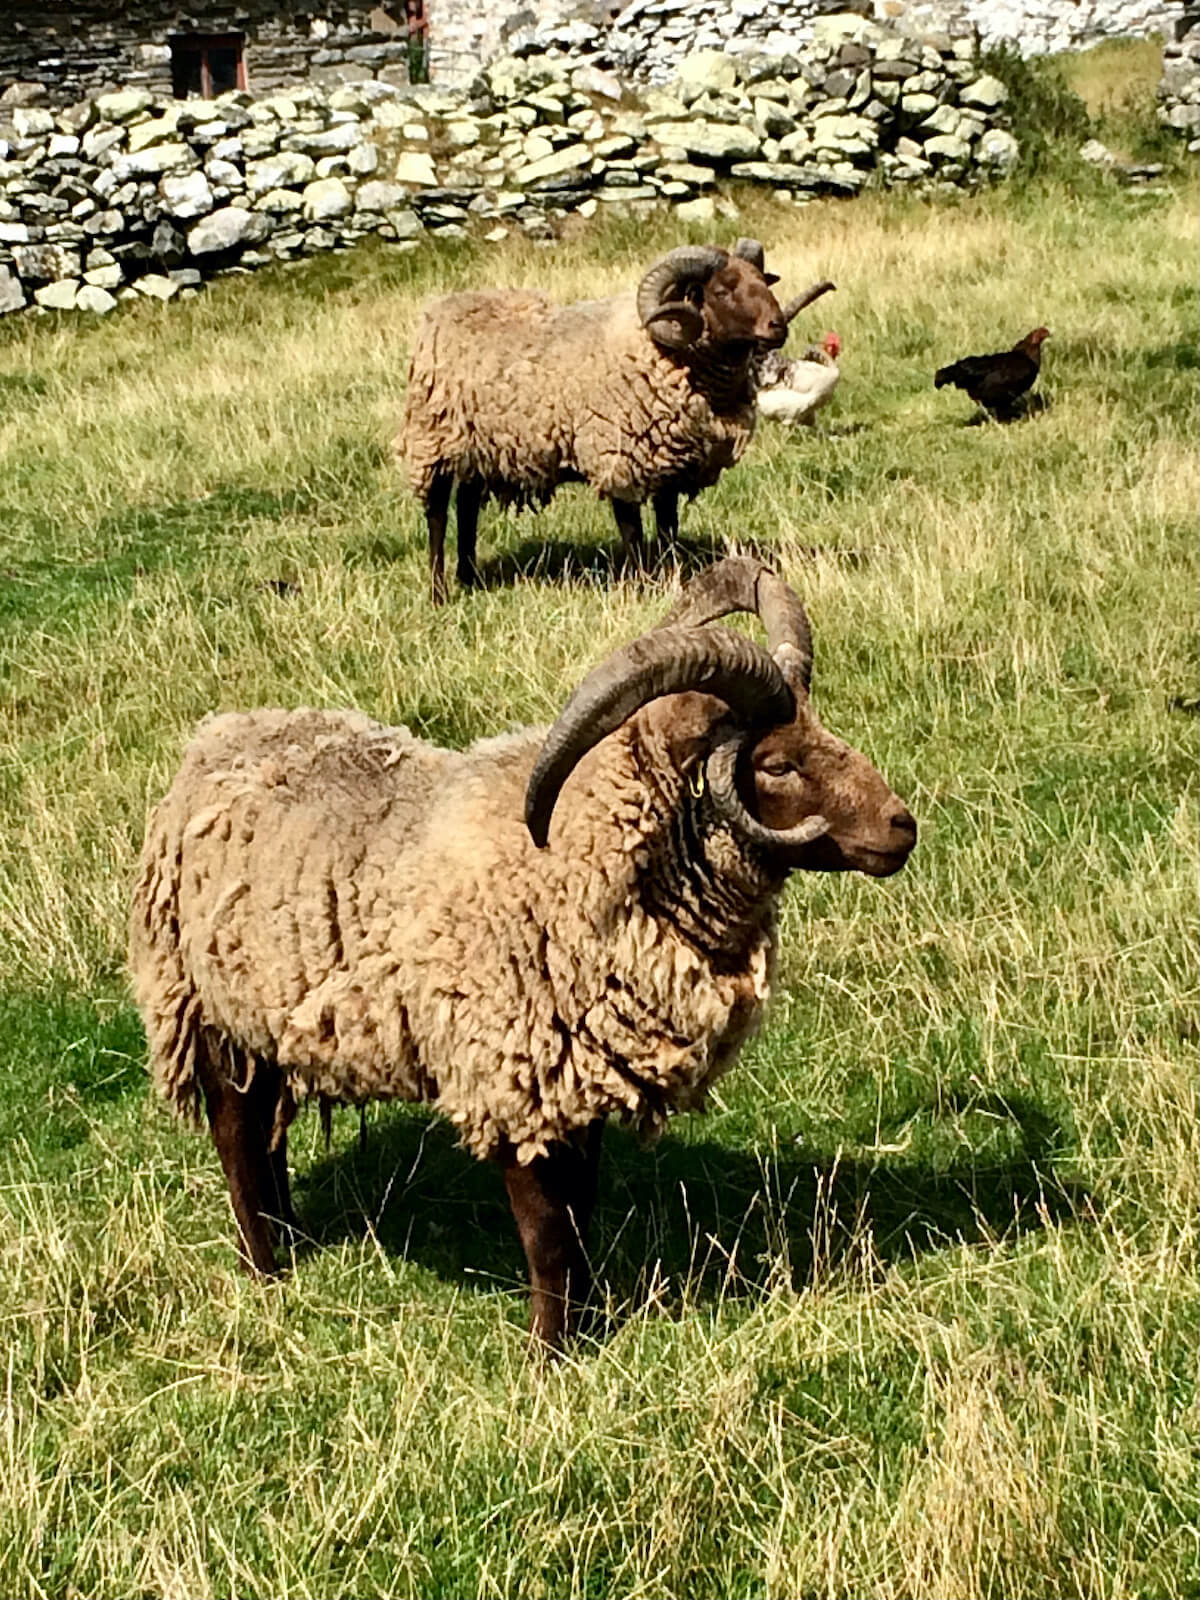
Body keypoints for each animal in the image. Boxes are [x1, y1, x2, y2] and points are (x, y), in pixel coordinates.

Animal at [129, 556, 915, 1349]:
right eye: (777, 763)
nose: (902, 826)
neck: (580, 851)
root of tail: (213, 741)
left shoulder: (582, 1079)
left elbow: (579, 1215)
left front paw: (590, 1323)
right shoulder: (517, 1079)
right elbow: (546, 1232)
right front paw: (553, 1350)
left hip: (266, 1024)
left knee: (268, 1139)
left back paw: (291, 1236)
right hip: (209, 1011)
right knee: (238, 1137)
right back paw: (265, 1268)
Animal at [397, 238, 835, 603]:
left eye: (762, 280)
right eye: (723, 290)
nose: (777, 327)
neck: (663, 351)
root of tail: (441, 309)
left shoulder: (670, 463)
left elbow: (668, 526)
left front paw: (672, 575)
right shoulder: (620, 455)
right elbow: (632, 531)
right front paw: (642, 584)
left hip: (480, 445)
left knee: (467, 505)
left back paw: (469, 577)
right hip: (435, 440)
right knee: (438, 514)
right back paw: (439, 593)